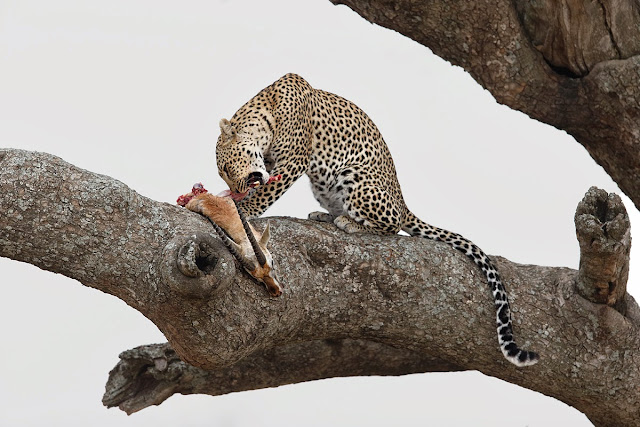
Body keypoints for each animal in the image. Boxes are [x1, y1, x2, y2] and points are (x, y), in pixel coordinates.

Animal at [215, 73, 539, 367]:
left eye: (227, 169)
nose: (235, 189)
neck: (265, 115)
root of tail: (402, 203)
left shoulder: (293, 161)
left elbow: (266, 193)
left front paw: (241, 207)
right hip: (324, 187)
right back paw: (326, 215)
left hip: (356, 178)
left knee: (391, 227)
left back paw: (350, 223)